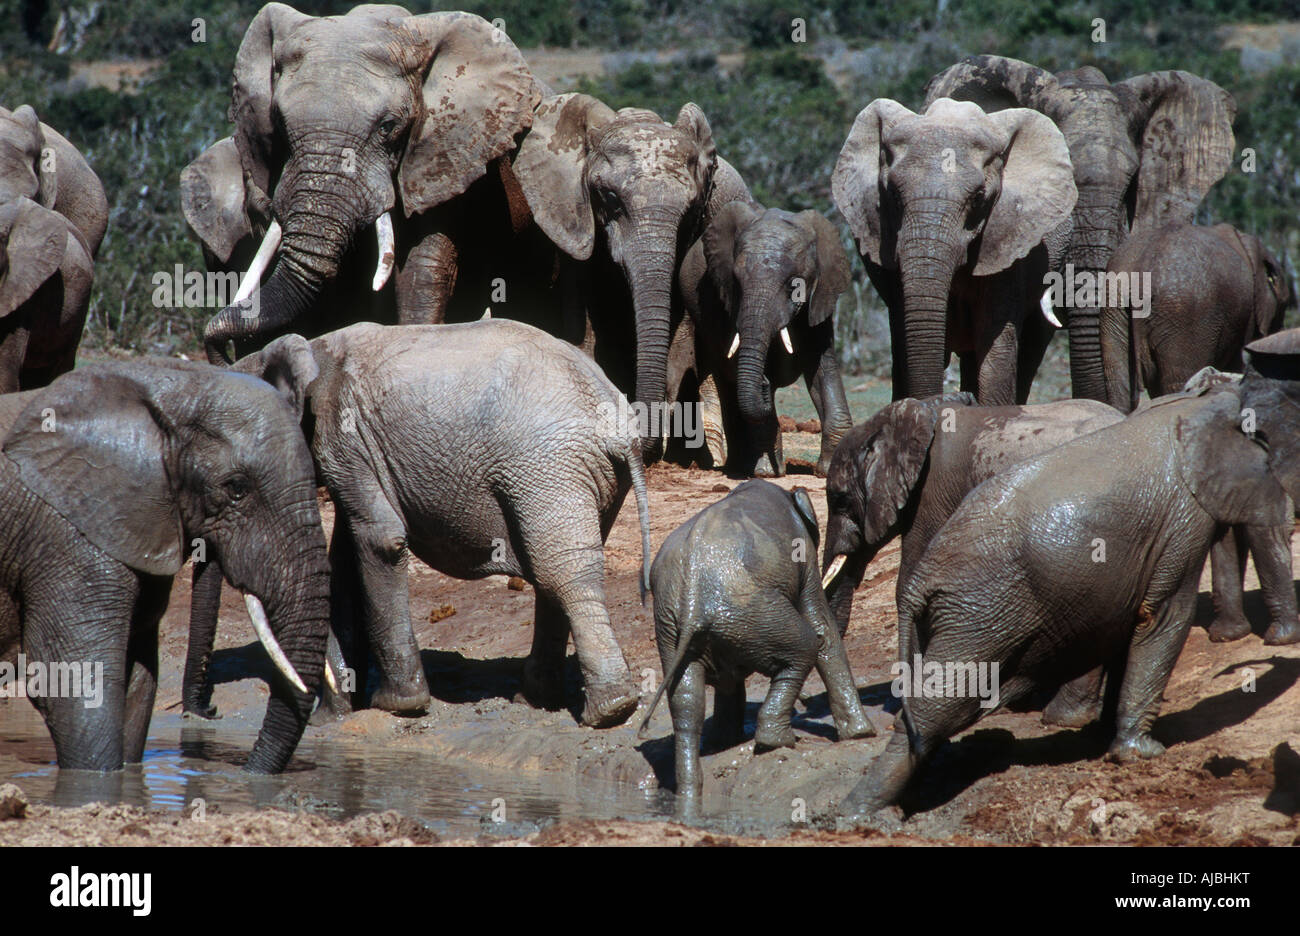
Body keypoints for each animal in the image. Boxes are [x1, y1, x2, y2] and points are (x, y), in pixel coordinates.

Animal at [186, 319, 652, 728]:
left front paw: (394, 705)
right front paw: (333, 716)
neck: (310, 348)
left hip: (547, 465)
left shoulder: (344, 433)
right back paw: (545, 700)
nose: (208, 712)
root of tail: (615, 425)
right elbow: (344, 560)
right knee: (556, 566)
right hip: (585, 474)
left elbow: (381, 541)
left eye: (235, 483)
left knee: (562, 572)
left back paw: (608, 712)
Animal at [639, 479, 875, 803]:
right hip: (753, 611)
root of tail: (692, 597)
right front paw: (863, 734)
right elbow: (820, 623)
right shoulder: (803, 551)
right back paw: (778, 741)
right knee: (804, 646)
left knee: (686, 699)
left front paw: (724, 740)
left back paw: (690, 788)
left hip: (673, 624)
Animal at [675, 202, 853, 477]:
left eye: (793, 285)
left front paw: (829, 469)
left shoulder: (821, 296)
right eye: (736, 282)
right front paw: (767, 472)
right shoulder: (720, 303)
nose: (765, 381)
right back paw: (740, 466)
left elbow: (822, 368)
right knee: (727, 383)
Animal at [839, 330, 1300, 817]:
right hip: (980, 610)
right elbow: (1163, 618)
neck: (1199, 405)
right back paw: (860, 814)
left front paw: (1110, 740)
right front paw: (1142, 753)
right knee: (943, 702)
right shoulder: (1180, 522)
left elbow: (1137, 621)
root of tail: (924, 583)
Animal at [1100, 222, 1293, 413]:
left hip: (1115, 302)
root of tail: (1143, 265)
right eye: (1283, 306)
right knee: (1178, 378)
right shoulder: (1248, 315)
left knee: (1118, 380)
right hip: (1184, 314)